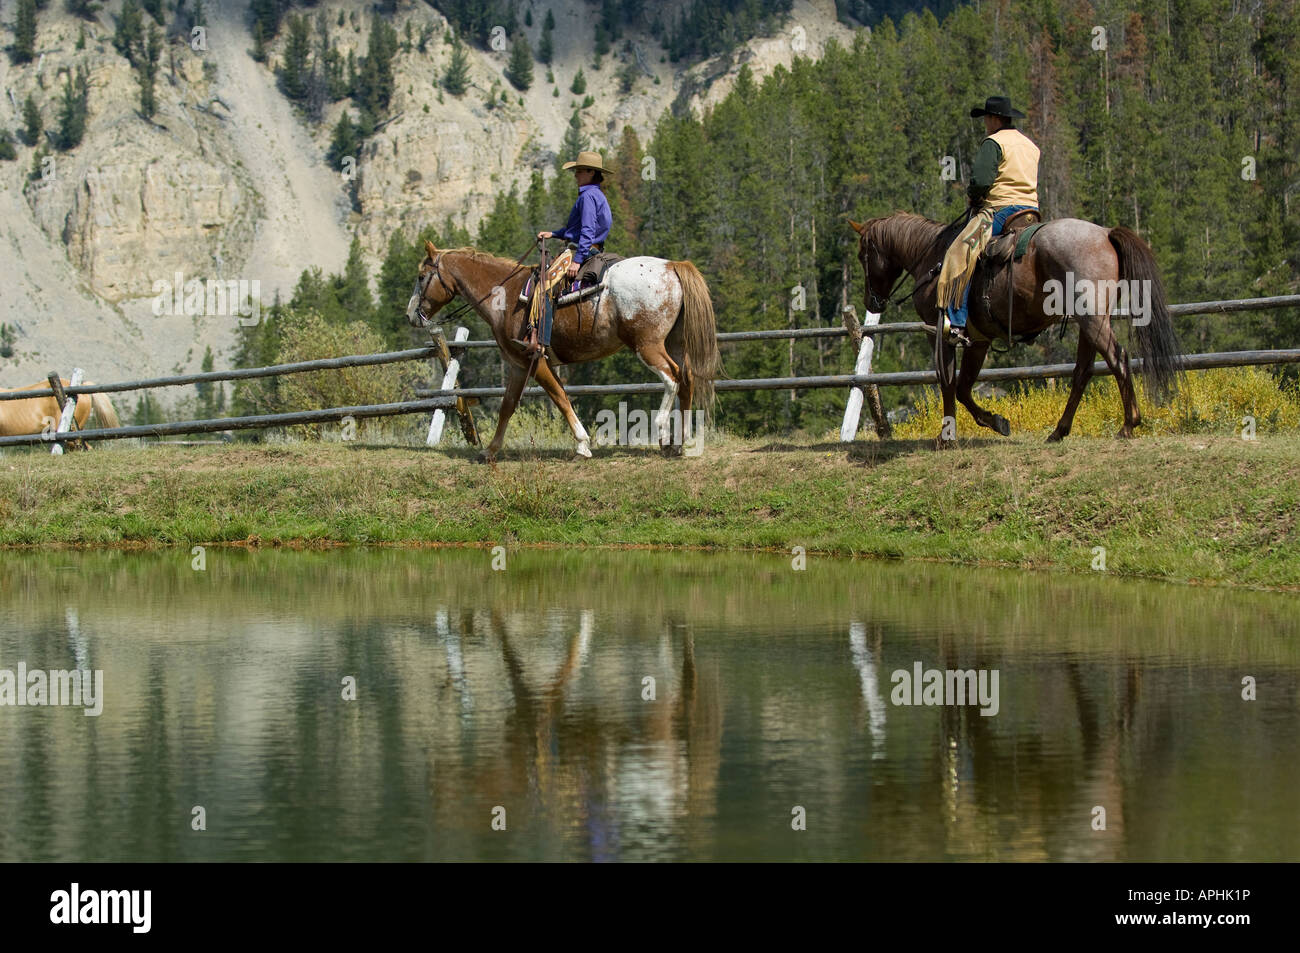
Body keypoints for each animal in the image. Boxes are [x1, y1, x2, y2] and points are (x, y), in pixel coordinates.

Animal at [407, 240, 721, 462]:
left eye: (422, 276)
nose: (411, 315)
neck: (507, 297)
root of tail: (672, 267)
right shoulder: (518, 365)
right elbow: (508, 405)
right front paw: (490, 451)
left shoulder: (534, 359)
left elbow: (559, 398)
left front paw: (582, 445)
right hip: (675, 344)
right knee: (687, 379)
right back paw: (682, 442)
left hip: (647, 345)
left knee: (672, 377)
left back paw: (663, 433)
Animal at [848, 213, 1183, 445]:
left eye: (863, 256)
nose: (872, 301)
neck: (934, 260)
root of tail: (1104, 233)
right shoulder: (979, 341)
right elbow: (963, 387)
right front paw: (995, 421)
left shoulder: (940, 334)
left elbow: (948, 383)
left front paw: (948, 435)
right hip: (1091, 322)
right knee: (1083, 371)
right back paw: (1059, 431)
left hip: (1092, 319)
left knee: (1118, 359)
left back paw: (1128, 424)